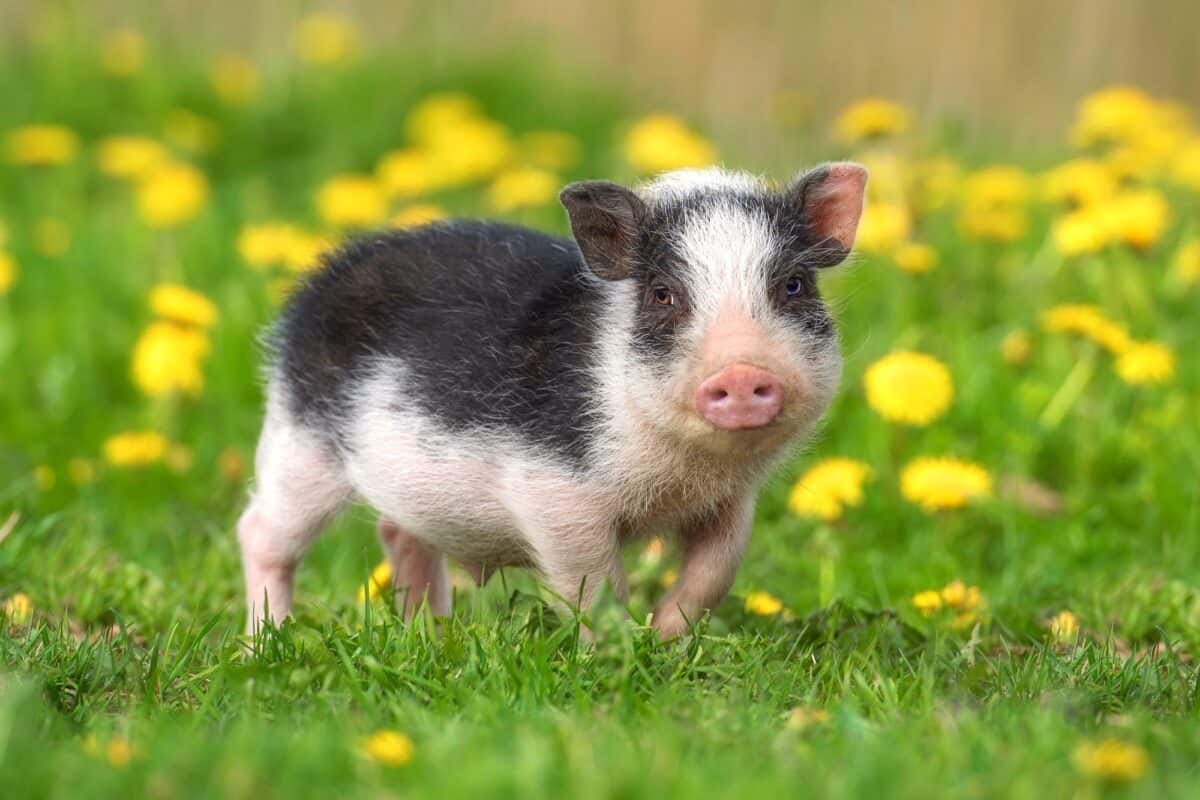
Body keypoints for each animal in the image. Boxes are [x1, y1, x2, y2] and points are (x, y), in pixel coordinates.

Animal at [237, 162, 868, 639]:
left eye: (793, 286)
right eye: (663, 294)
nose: (740, 373)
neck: (682, 473)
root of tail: (315, 284)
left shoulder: (731, 501)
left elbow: (717, 569)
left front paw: (664, 637)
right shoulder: (554, 492)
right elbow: (593, 582)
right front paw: (615, 649)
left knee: (399, 533)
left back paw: (431, 637)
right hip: (302, 438)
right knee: (262, 532)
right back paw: (264, 642)